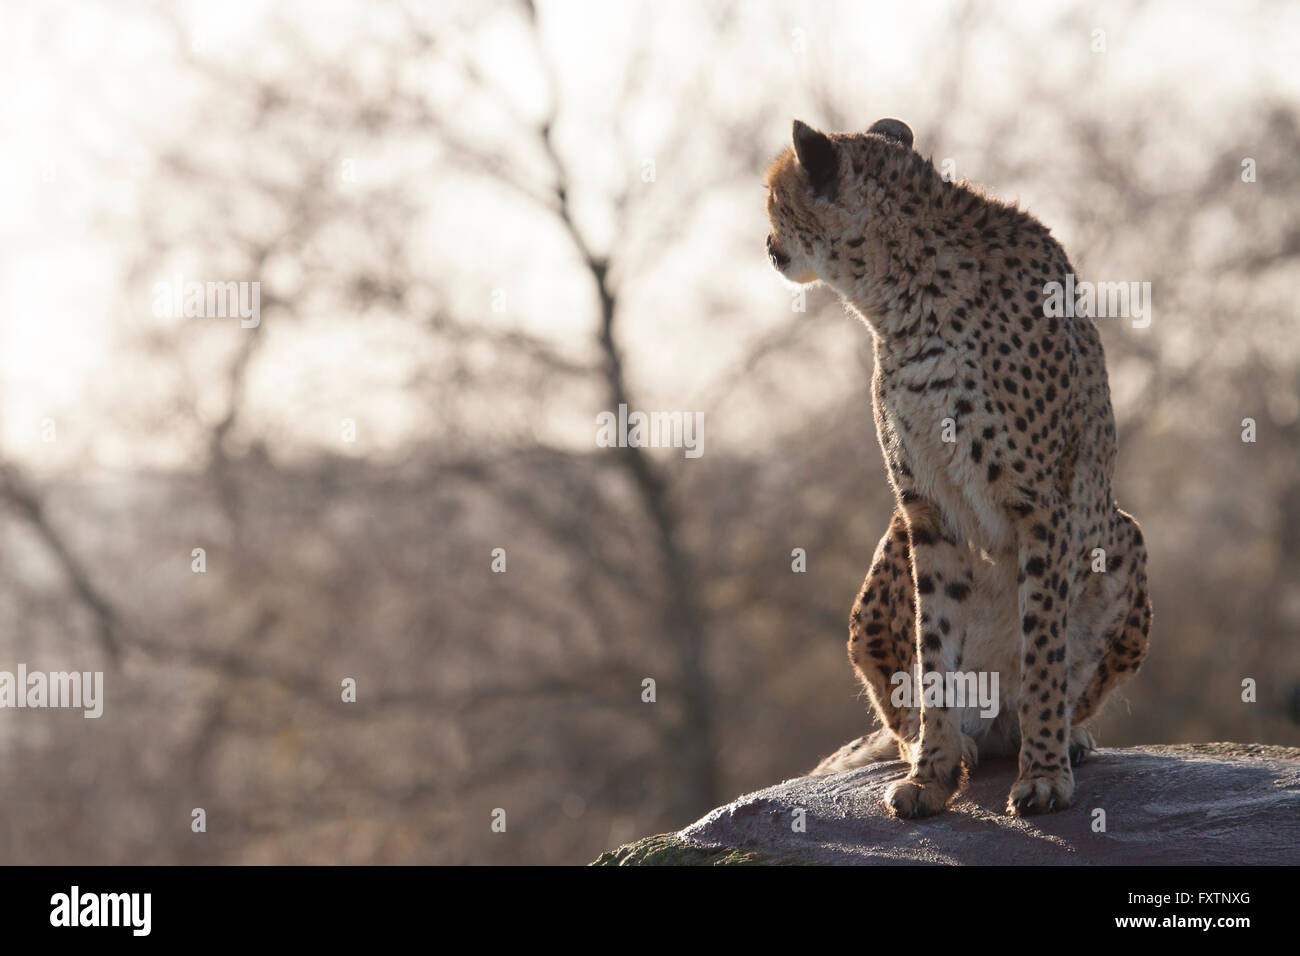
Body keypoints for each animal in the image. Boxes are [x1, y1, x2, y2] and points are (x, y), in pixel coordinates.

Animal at [764, 117, 1152, 818]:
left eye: (775, 200)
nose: (767, 244)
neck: (902, 299)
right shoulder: (925, 509)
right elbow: (934, 645)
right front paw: (932, 772)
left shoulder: (1041, 504)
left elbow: (1044, 650)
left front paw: (1045, 773)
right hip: (886, 557)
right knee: (900, 712)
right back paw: (947, 742)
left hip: (1123, 538)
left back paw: (1062, 738)